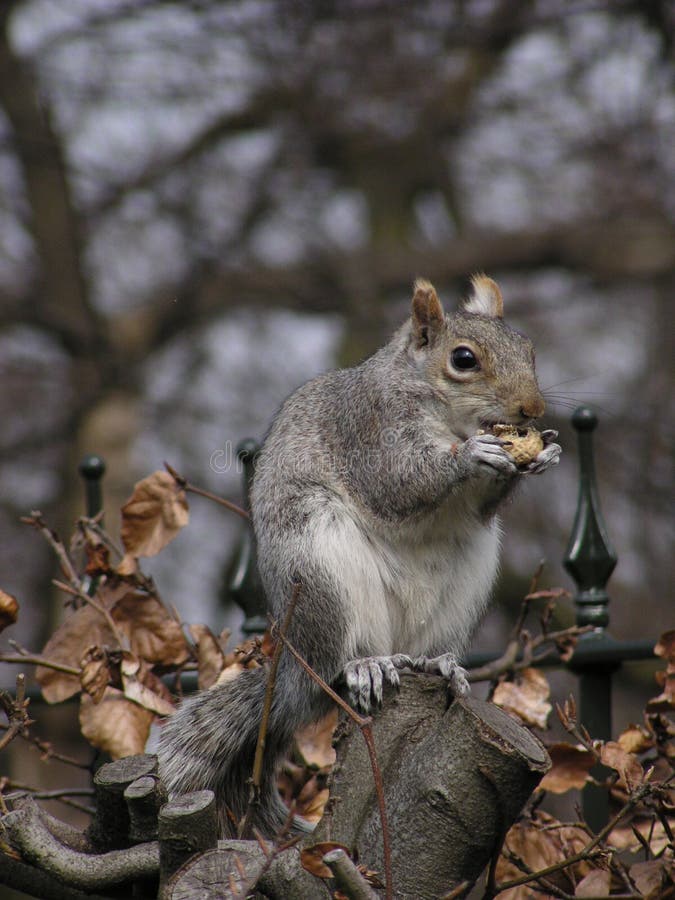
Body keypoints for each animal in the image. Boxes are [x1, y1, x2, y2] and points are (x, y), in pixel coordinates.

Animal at [158, 275, 561, 837]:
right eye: (463, 359)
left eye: (529, 350)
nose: (533, 410)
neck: (444, 416)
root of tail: (293, 670)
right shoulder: (368, 428)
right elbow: (397, 482)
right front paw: (472, 457)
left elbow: (482, 506)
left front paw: (544, 453)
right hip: (320, 570)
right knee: (335, 663)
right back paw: (364, 664)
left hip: (465, 586)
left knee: (422, 649)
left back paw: (436, 663)